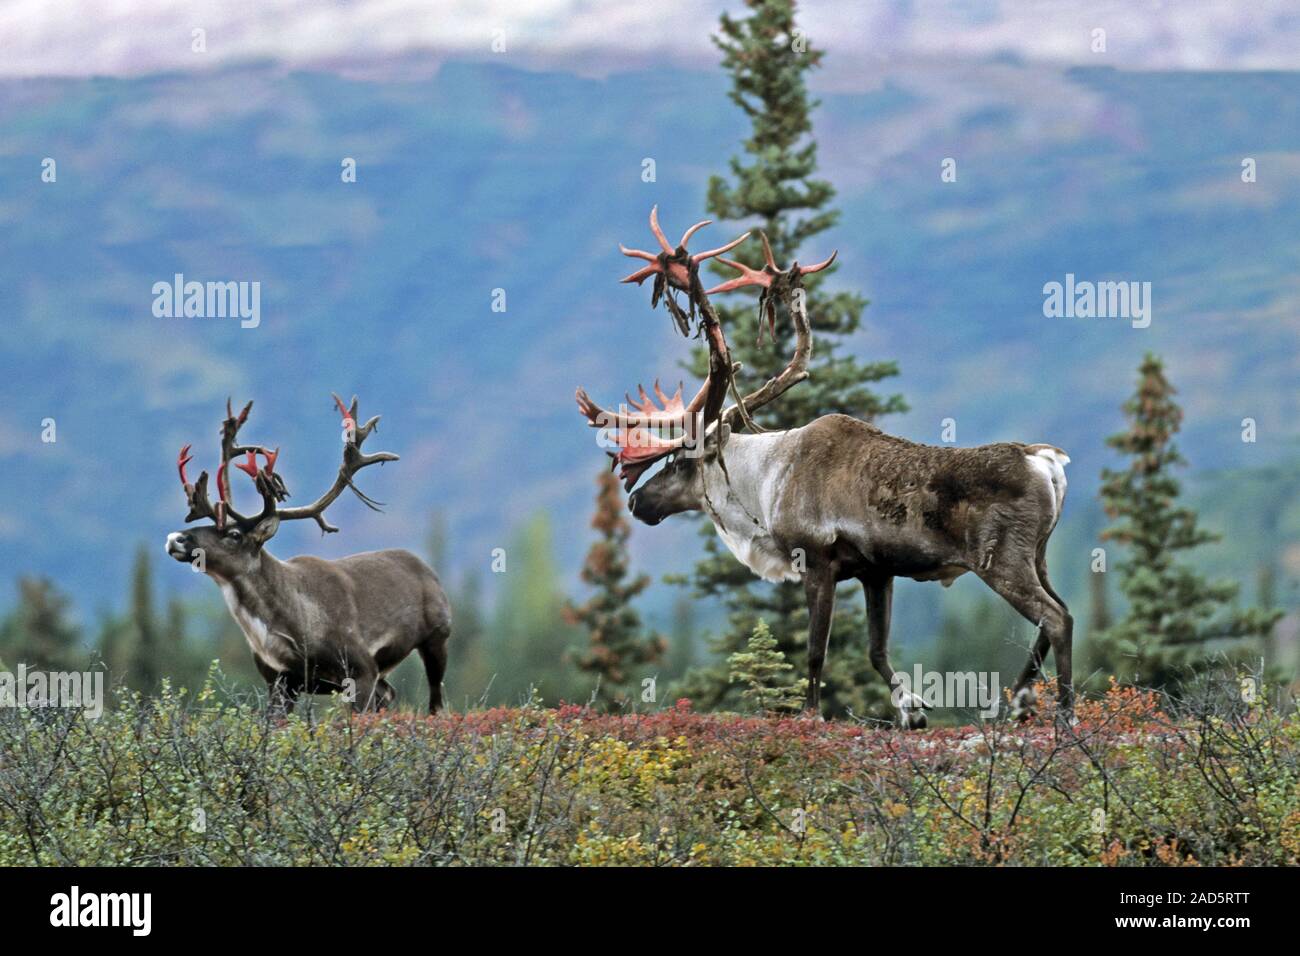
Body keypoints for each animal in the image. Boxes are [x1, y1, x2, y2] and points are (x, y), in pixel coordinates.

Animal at [165, 395, 451, 715]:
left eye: (235, 534)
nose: (175, 538)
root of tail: (428, 570)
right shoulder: (279, 681)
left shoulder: (362, 668)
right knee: (390, 694)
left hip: (437, 637)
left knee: (435, 703)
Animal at [576, 208, 1072, 727]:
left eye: (678, 461)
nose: (636, 500)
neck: (764, 485)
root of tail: (1046, 462)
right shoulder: (878, 572)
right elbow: (877, 651)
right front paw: (911, 708)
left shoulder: (816, 560)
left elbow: (816, 652)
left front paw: (810, 714)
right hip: (1038, 554)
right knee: (1056, 615)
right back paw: (1014, 703)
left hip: (1002, 560)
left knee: (1057, 618)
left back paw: (1062, 711)